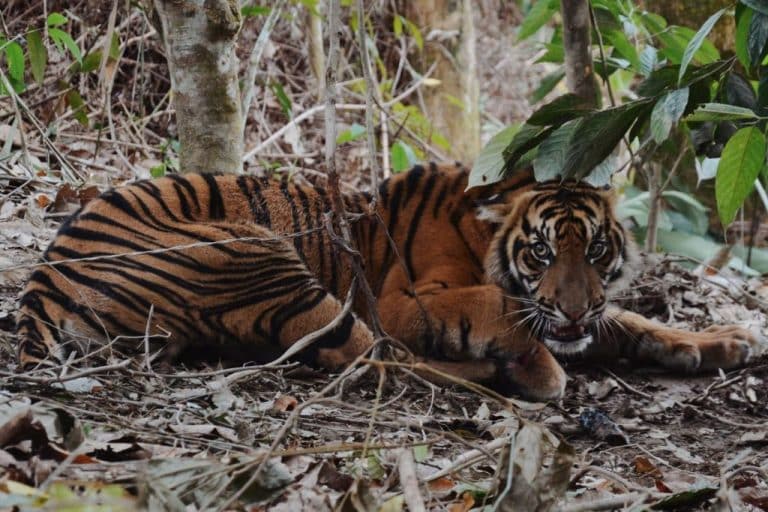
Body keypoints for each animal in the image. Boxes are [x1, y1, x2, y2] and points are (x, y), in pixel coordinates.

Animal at [15, 163, 762, 401]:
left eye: (599, 249)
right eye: (542, 251)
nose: (574, 315)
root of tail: (42, 281)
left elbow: (629, 321)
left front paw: (724, 341)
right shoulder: (406, 302)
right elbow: (498, 305)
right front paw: (541, 367)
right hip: (258, 255)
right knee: (376, 361)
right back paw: (499, 375)